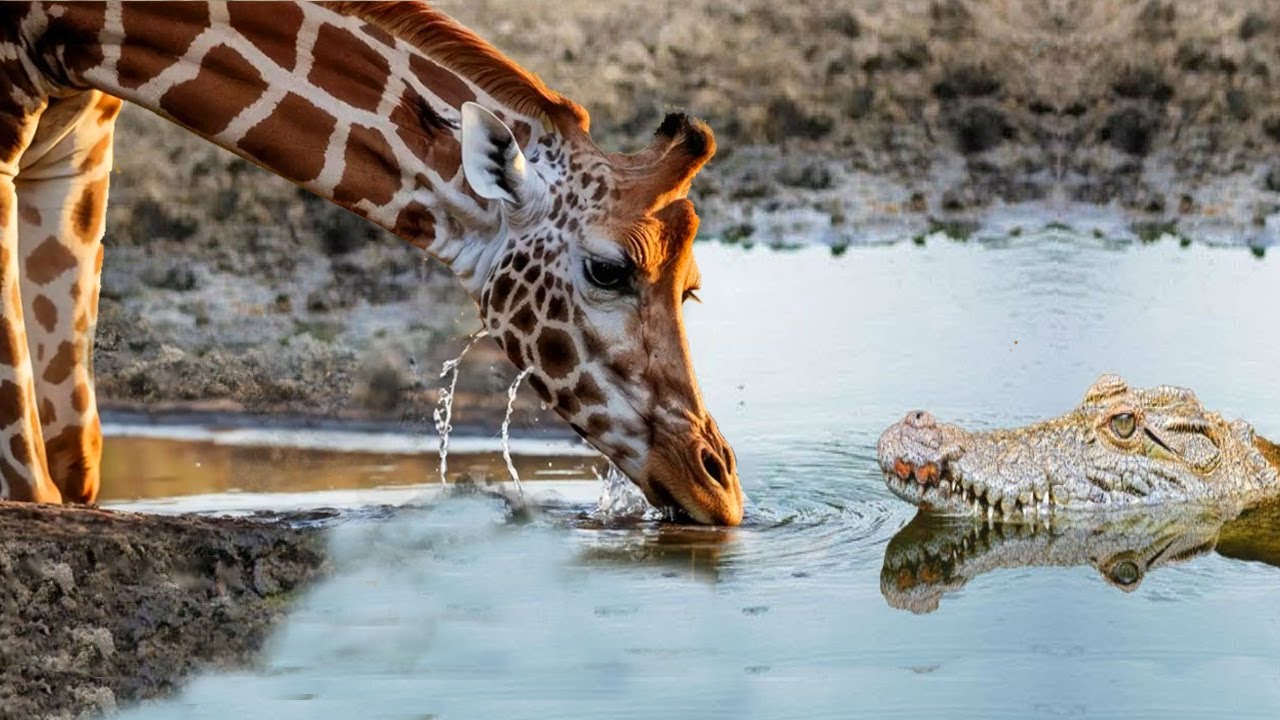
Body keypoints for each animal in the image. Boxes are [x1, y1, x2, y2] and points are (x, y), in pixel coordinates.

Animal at [0, 2, 744, 524]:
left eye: (693, 289)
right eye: (608, 270)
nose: (719, 486)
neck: (97, 31)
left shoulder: (79, 149)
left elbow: (75, 459)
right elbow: (30, 476)